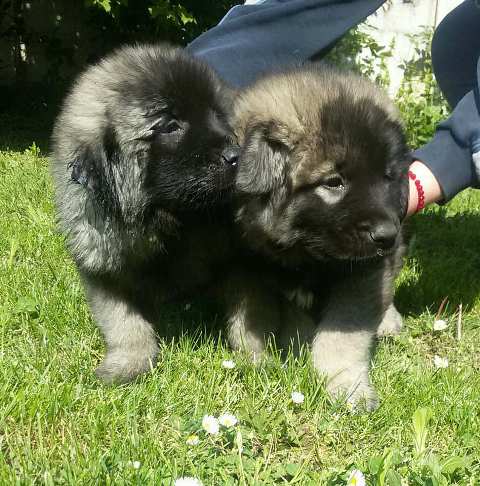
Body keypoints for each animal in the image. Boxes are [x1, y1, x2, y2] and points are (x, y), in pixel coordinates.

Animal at [51, 43, 239, 384]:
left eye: (218, 115)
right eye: (170, 126)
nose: (236, 155)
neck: (163, 220)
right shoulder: (104, 270)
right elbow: (124, 322)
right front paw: (129, 362)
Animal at [226, 65, 408, 410]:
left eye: (388, 177)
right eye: (334, 182)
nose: (387, 235)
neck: (306, 252)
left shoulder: (365, 273)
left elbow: (342, 334)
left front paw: (347, 385)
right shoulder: (247, 268)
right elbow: (259, 318)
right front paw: (265, 357)